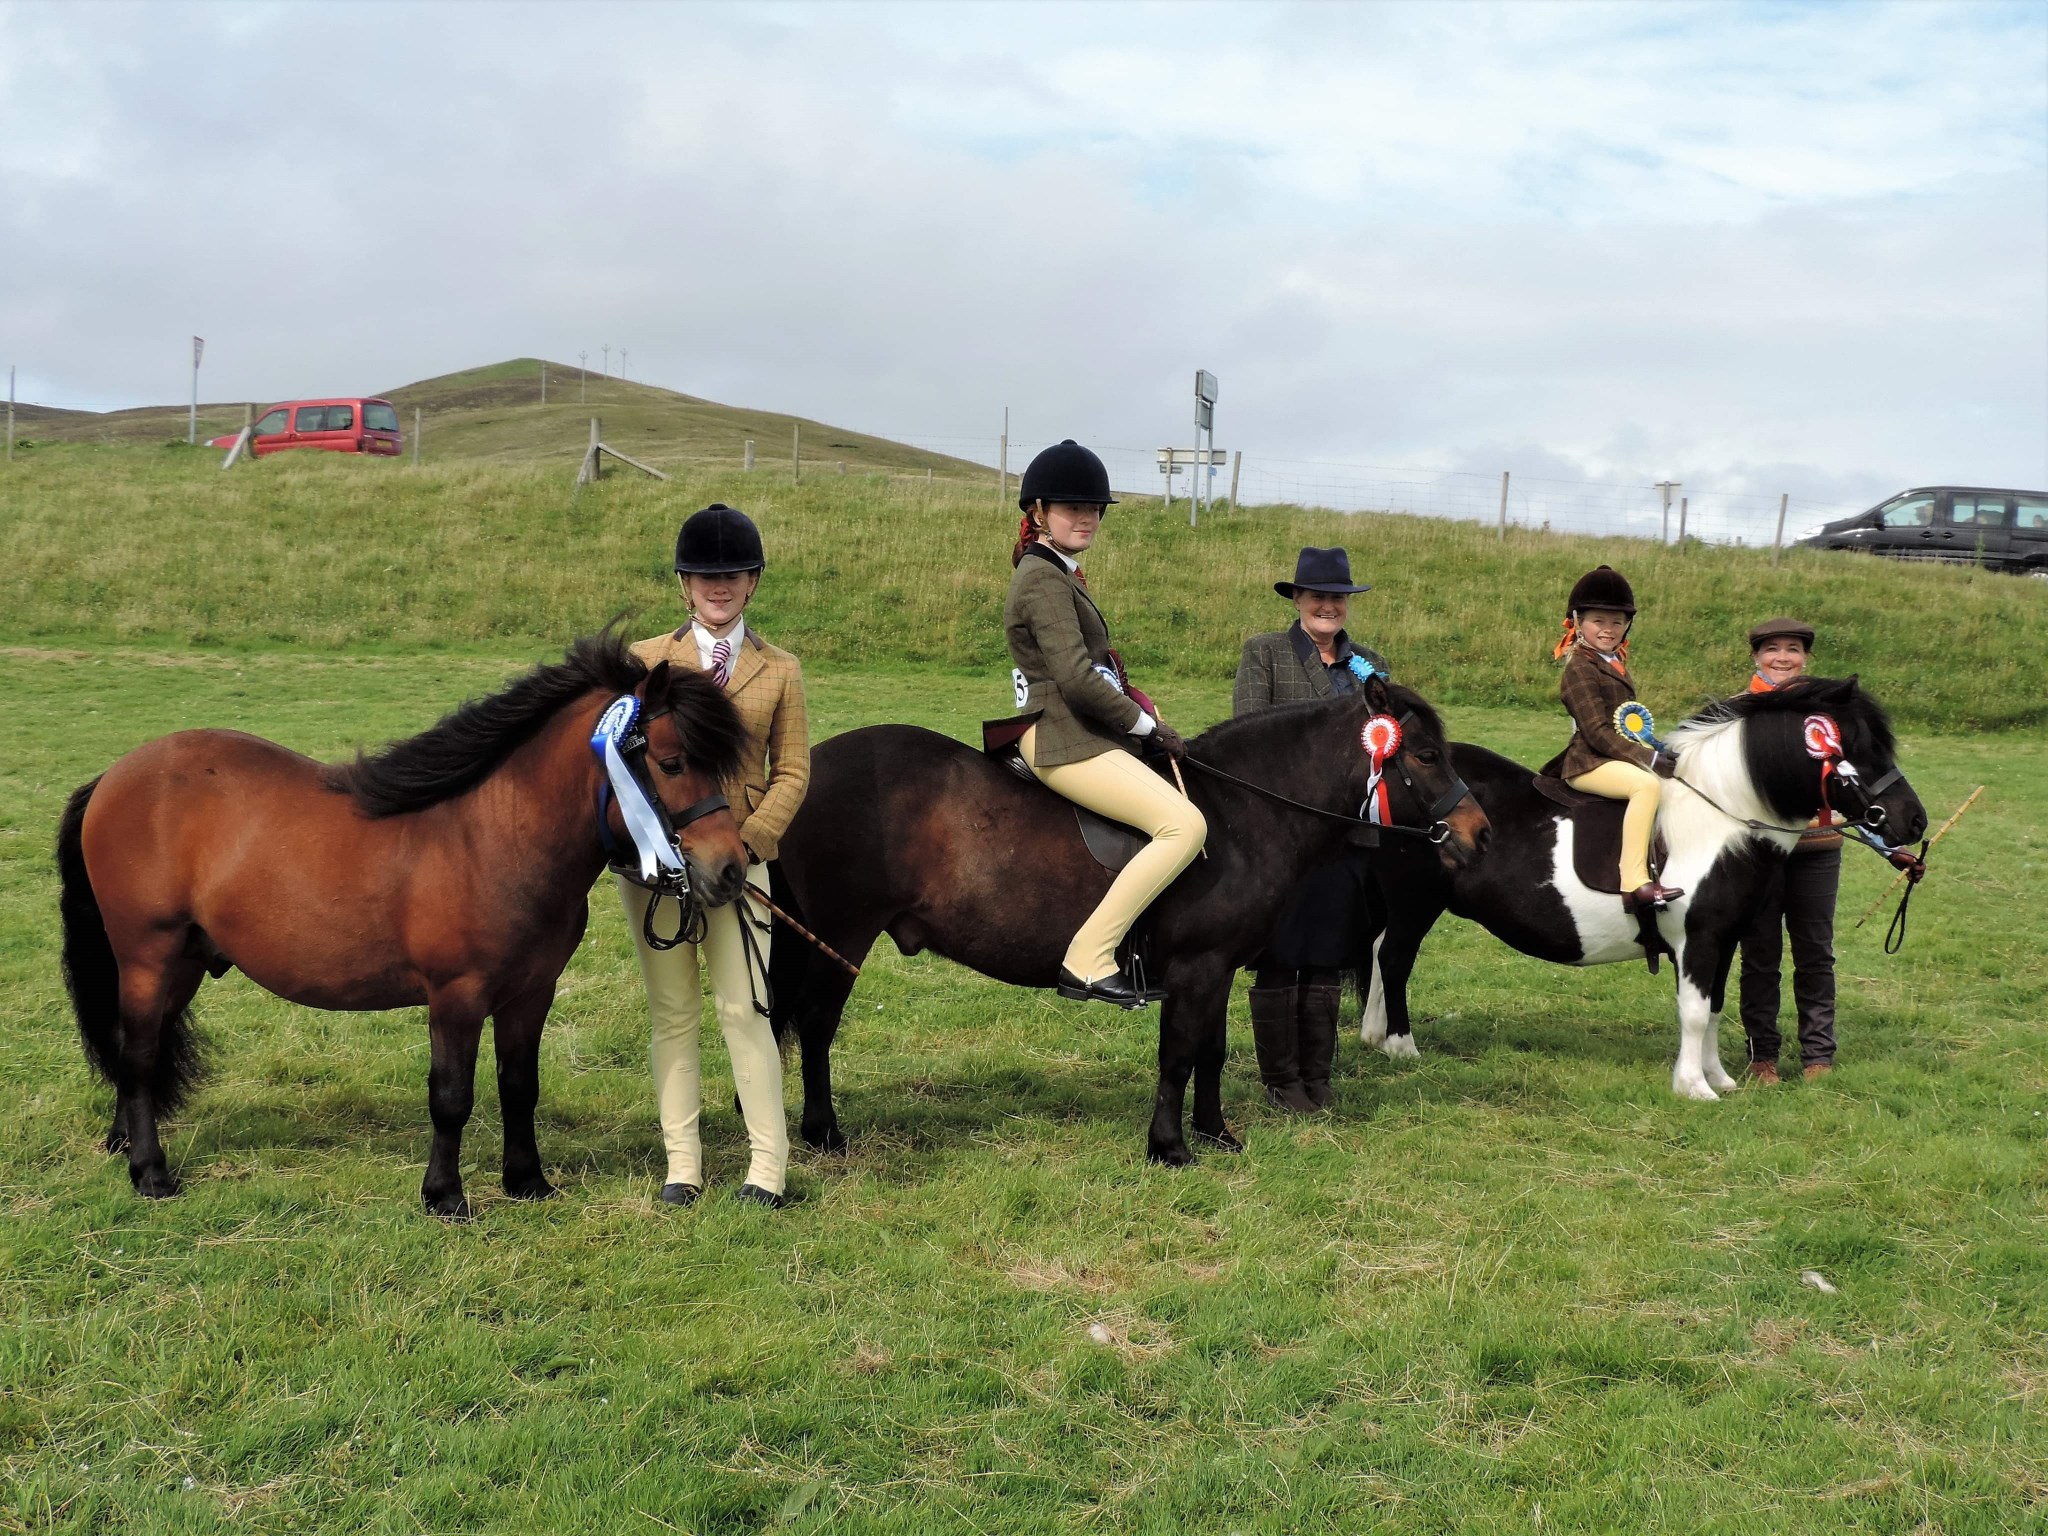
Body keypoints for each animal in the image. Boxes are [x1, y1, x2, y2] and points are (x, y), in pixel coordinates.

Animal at [55, 633, 750, 1218]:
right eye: (672, 761)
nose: (729, 869)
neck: (491, 836)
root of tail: (114, 776)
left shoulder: (531, 994)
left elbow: (518, 1085)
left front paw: (527, 1181)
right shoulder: (456, 996)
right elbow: (451, 1097)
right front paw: (444, 1195)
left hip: (185, 962)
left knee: (138, 1049)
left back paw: (125, 1145)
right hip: (148, 956)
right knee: (139, 1054)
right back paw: (151, 1173)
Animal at [766, 676, 1490, 1166]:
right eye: (1425, 755)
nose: (1479, 834)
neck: (1240, 817)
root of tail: (805, 770)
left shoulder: (1217, 970)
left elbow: (1210, 1052)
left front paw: (1216, 1133)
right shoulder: (1196, 967)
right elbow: (1178, 1055)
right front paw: (1169, 1147)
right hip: (840, 937)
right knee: (817, 1025)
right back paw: (824, 1132)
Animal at [1351, 677, 1927, 1100]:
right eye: (1860, 748)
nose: (1914, 821)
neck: (1720, 820)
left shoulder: (1724, 941)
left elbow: (1714, 1008)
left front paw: (1719, 1078)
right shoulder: (1697, 941)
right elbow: (1693, 1011)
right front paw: (1693, 1087)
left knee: (1377, 953)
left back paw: (1373, 1036)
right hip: (1414, 903)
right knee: (1395, 959)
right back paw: (1401, 1047)